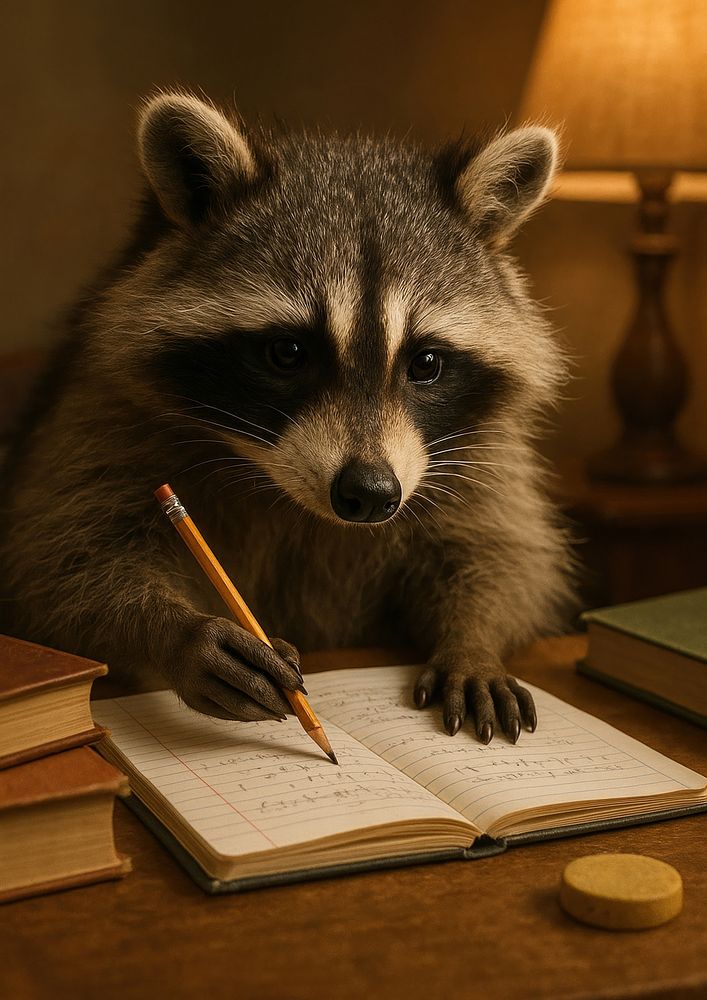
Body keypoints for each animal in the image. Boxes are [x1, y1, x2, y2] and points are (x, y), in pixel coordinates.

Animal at [1, 91, 573, 743]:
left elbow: (505, 552)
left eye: (426, 363)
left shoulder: (475, 451)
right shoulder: (102, 414)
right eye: (287, 353)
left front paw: (473, 642)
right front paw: (177, 631)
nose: (370, 494)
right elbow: (58, 558)